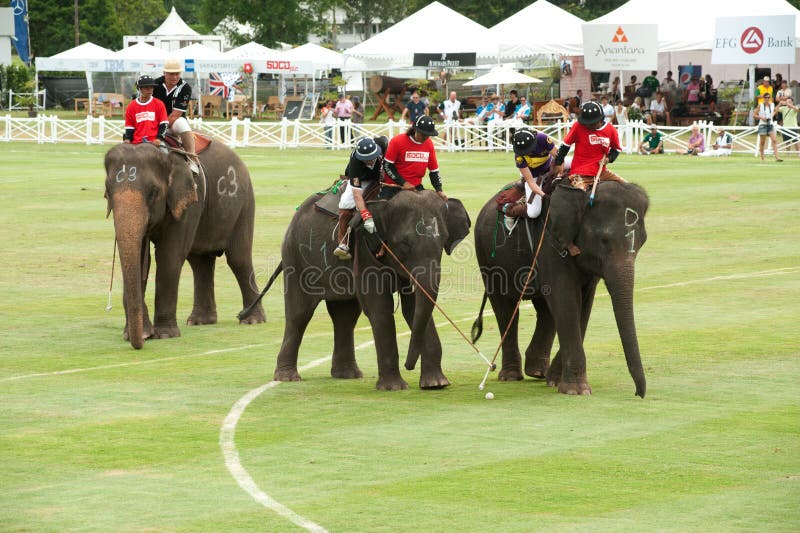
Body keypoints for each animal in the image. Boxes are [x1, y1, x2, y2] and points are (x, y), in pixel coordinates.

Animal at [104, 141, 265, 349]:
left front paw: (164, 335)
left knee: (239, 259)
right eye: (108, 192)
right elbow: (139, 260)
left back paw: (252, 320)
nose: (139, 342)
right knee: (200, 262)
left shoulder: (189, 201)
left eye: (154, 192)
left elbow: (169, 256)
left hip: (244, 204)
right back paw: (200, 321)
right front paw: (137, 334)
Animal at [249, 187, 471, 390]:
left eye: (443, 241)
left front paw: (436, 384)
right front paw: (395, 387)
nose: (410, 366)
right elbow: (379, 308)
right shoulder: (363, 250)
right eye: (405, 243)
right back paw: (287, 377)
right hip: (296, 256)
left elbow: (414, 306)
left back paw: (347, 375)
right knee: (299, 313)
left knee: (345, 315)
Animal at [473, 179, 649, 397]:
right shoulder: (550, 243)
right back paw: (511, 376)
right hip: (487, 257)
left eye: (642, 242)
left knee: (545, 310)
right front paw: (577, 390)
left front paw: (557, 381)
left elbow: (583, 304)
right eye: (603, 241)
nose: (638, 393)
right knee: (505, 307)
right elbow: (566, 298)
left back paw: (538, 372)